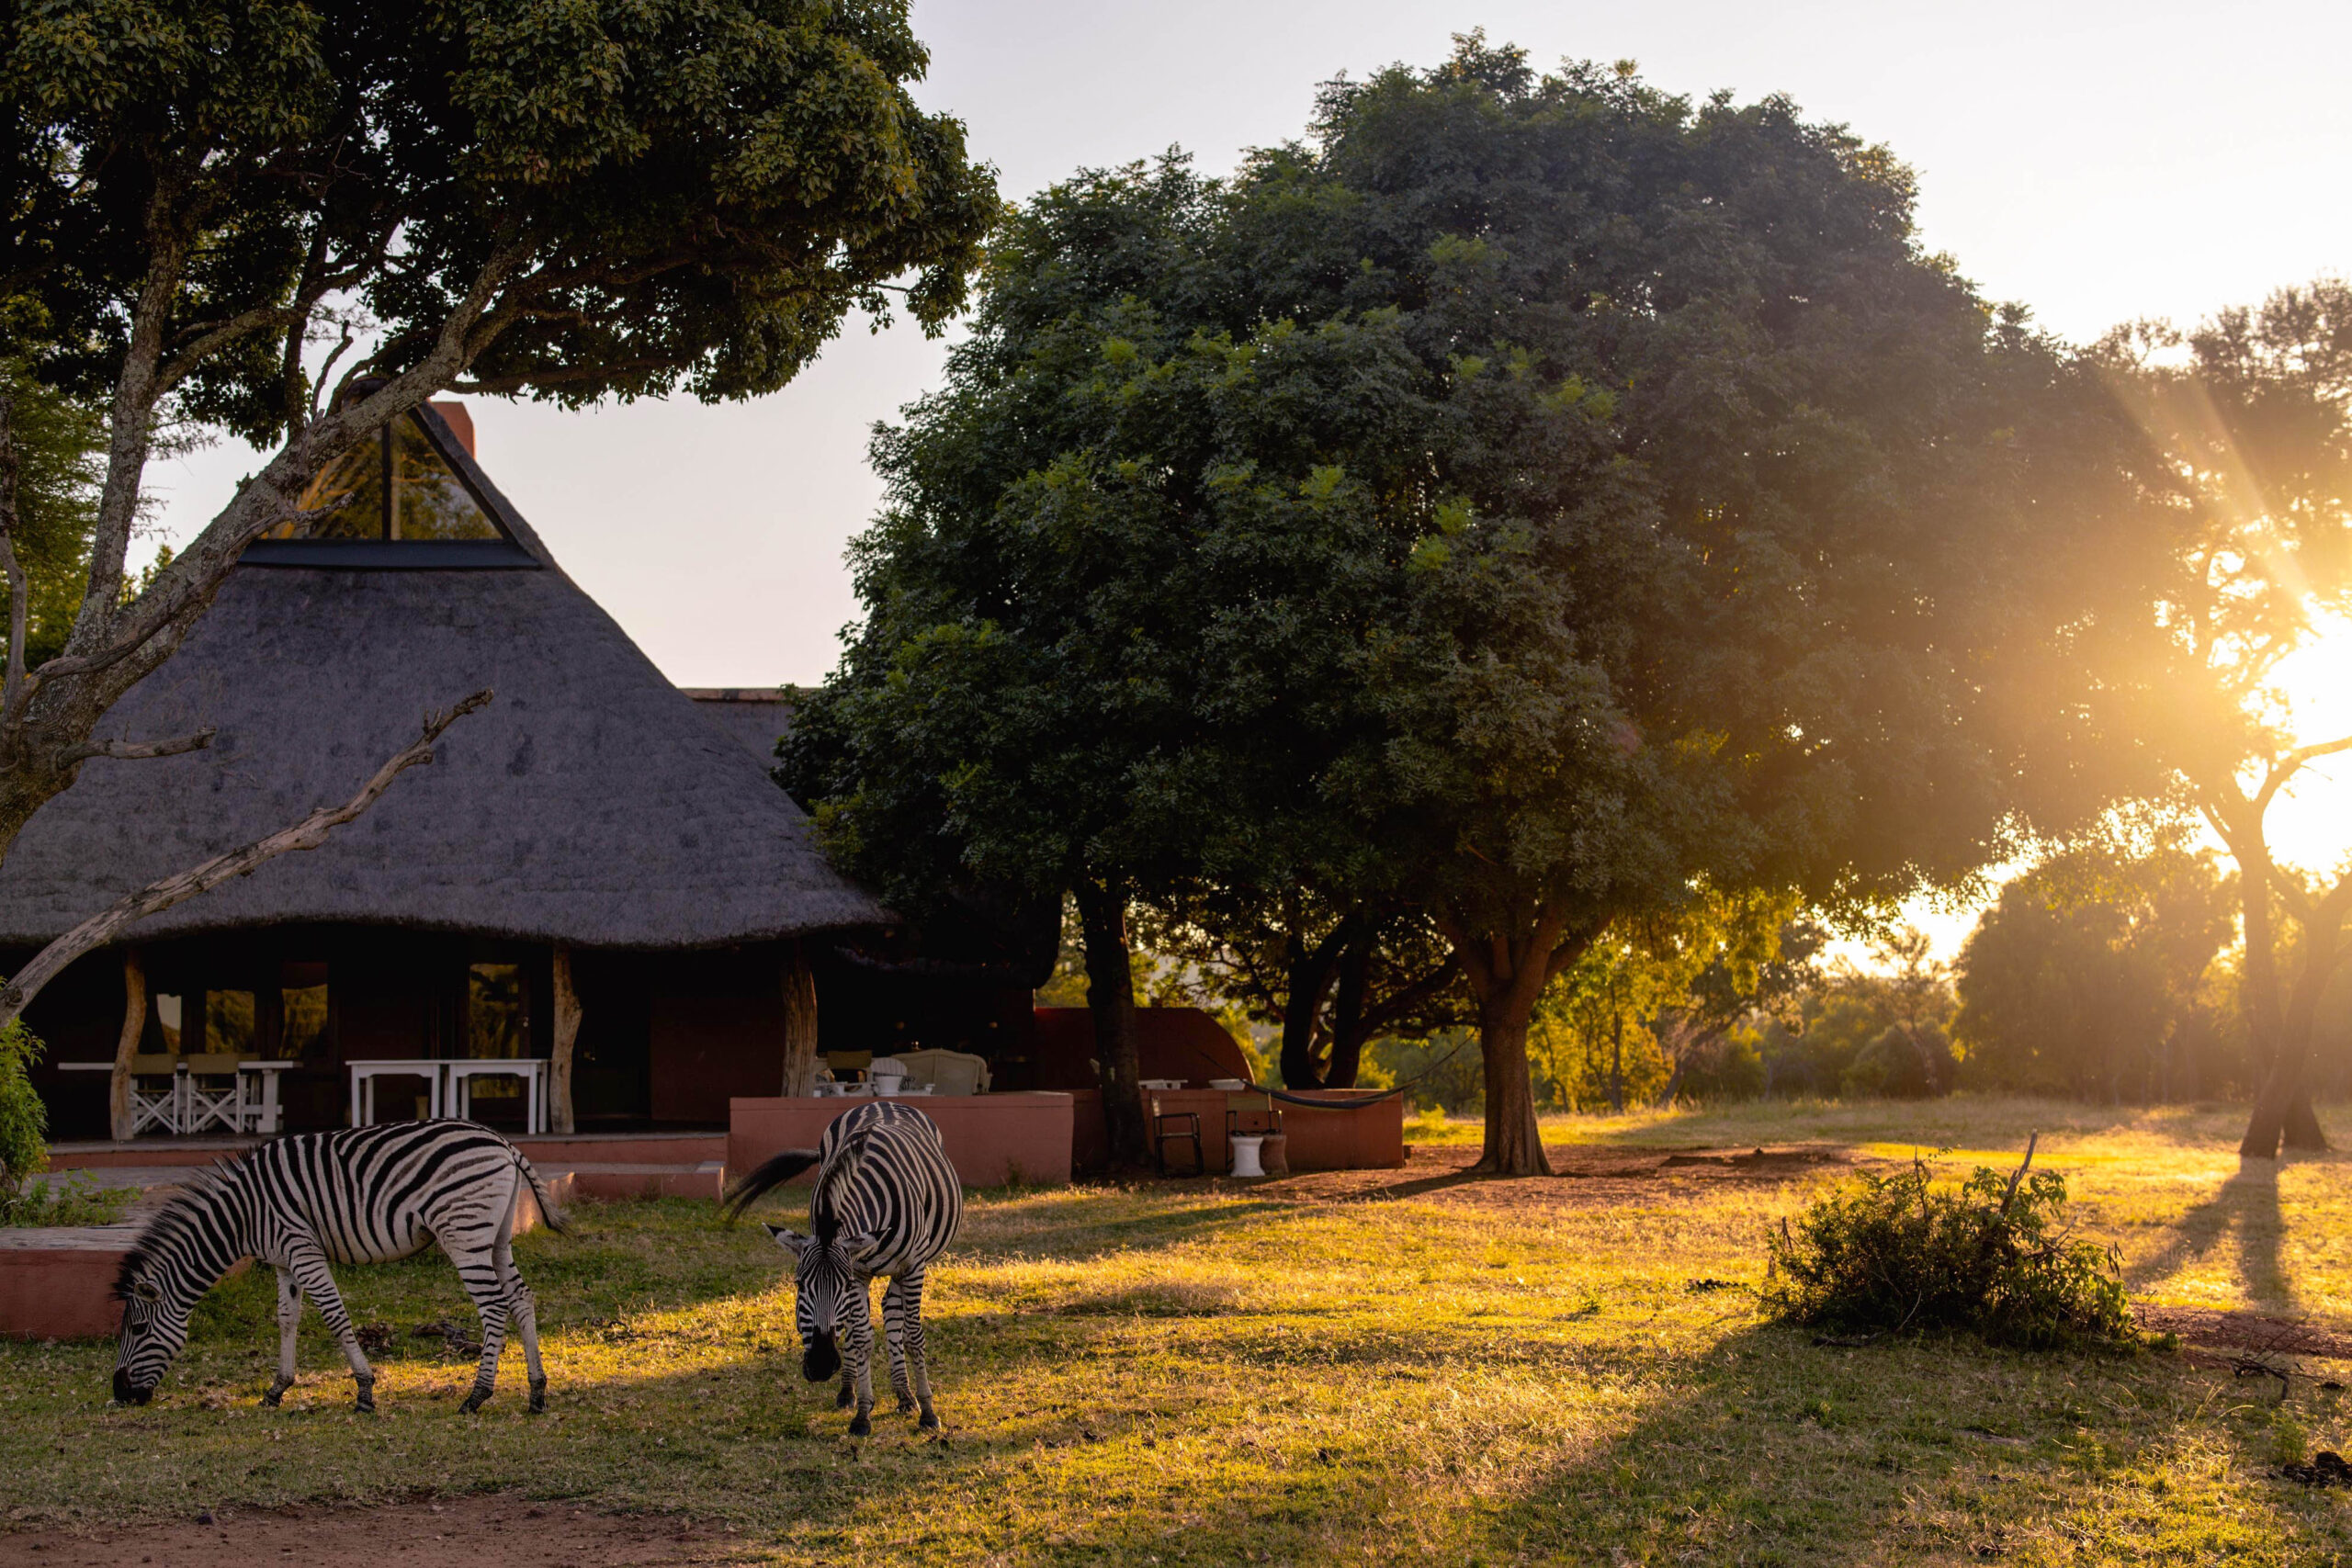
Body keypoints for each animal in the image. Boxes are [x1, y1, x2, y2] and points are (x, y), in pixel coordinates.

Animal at [113, 1123, 564, 1419]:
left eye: (138, 1330)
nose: (119, 1394)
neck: (242, 1216)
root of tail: (502, 1142)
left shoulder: (302, 1248)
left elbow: (335, 1316)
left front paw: (364, 1392)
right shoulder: (282, 1261)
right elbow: (286, 1319)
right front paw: (277, 1390)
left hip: (463, 1233)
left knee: (493, 1307)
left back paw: (477, 1396)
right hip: (497, 1236)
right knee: (521, 1299)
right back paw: (536, 1394)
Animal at [724, 1100, 964, 1438]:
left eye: (842, 1285)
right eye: (799, 1285)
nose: (822, 1365)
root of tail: (882, 1101)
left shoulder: (912, 1266)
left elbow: (914, 1336)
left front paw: (928, 1412)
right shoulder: (858, 1270)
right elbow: (860, 1338)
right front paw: (862, 1413)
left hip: (904, 1266)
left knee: (893, 1312)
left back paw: (906, 1395)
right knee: (874, 1317)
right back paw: (854, 1391)